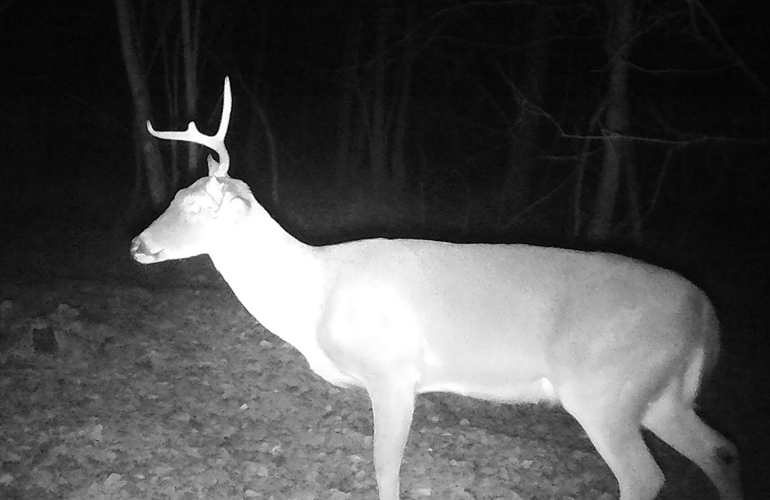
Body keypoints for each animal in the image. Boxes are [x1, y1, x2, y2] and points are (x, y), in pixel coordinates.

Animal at [131, 77, 742, 500]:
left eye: (195, 207)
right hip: (661, 396)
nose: (137, 244)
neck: (315, 294)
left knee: (645, 477)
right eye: (176, 195)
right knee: (722, 452)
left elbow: (386, 470)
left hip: (605, 389)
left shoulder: (394, 373)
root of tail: (706, 309)